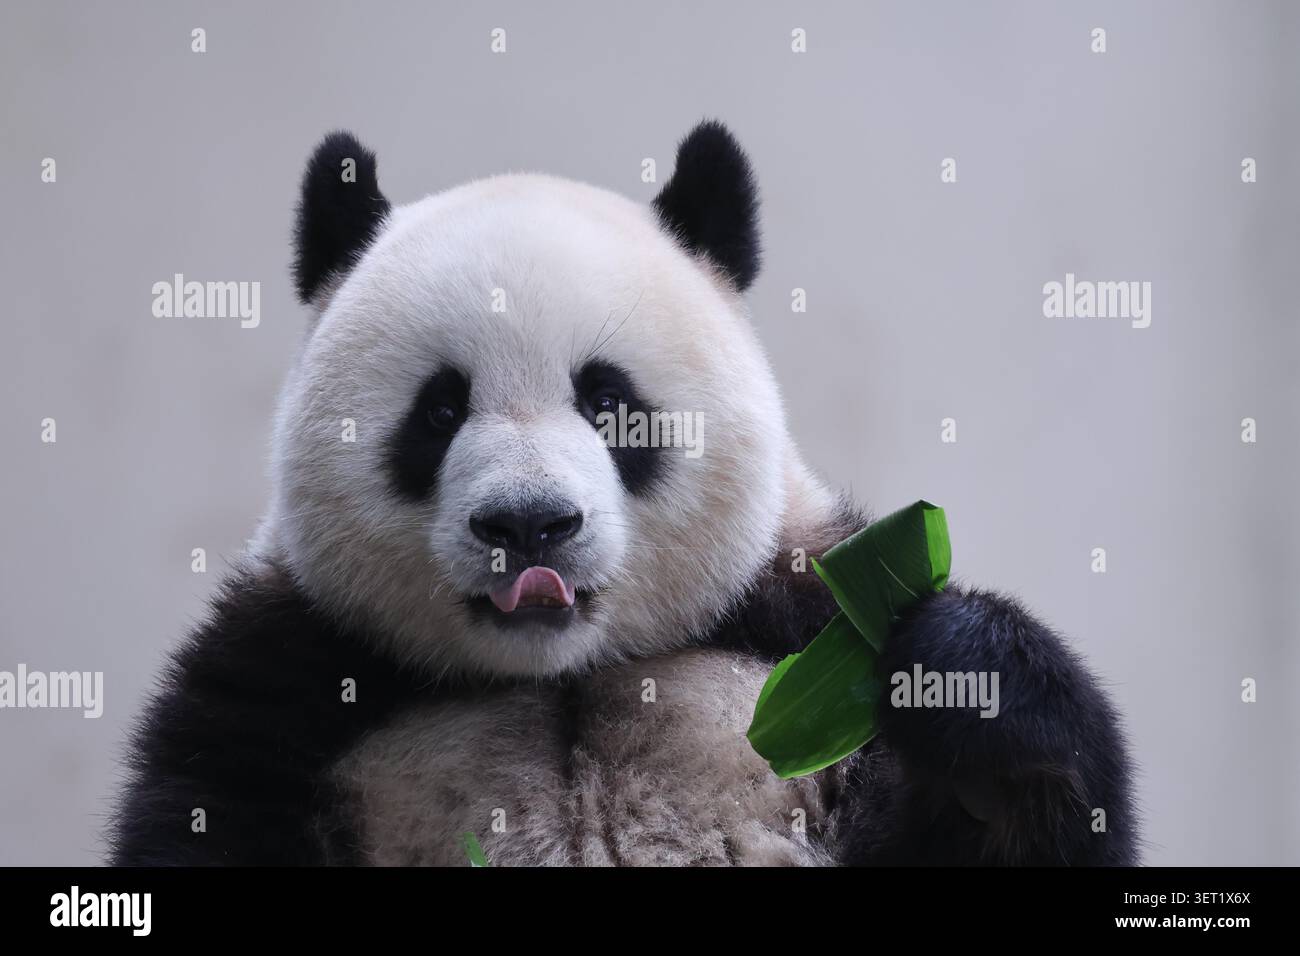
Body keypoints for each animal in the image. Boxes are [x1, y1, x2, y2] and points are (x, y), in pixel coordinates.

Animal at [111, 121, 1137, 866]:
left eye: (607, 402)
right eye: (439, 410)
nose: (529, 526)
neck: (564, 668)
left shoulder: (797, 624)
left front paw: (966, 682)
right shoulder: (279, 687)